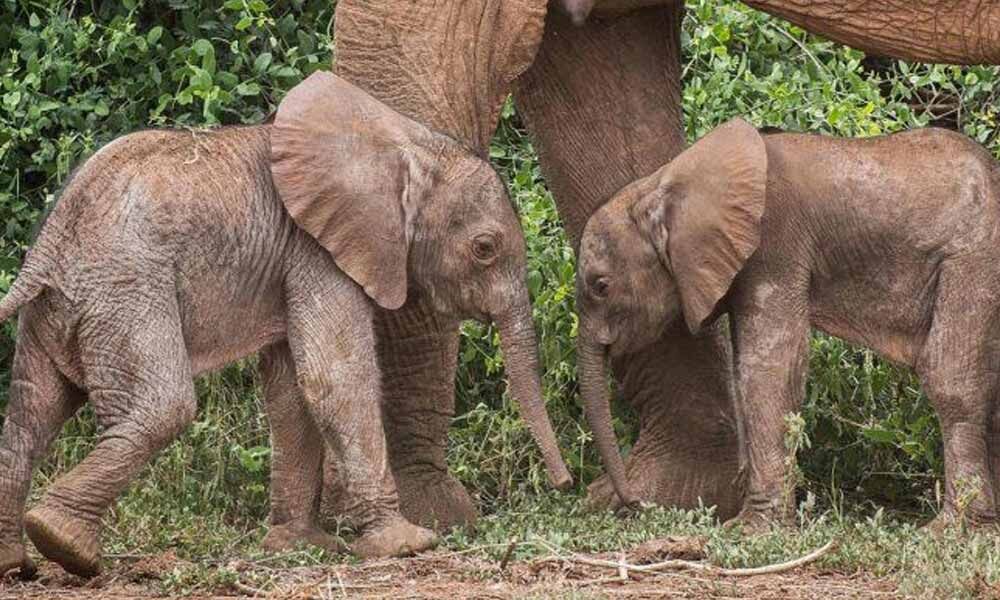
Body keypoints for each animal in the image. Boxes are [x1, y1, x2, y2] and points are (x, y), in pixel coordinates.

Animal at [0, 71, 571, 578]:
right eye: (484, 249)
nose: (564, 486)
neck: (405, 145)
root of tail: (51, 240)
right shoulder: (318, 252)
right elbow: (335, 378)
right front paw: (406, 544)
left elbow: (292, 391)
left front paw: (300, 545)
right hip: (124, 288)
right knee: (162, 407)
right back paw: (64, 544)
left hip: (67, 303)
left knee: (31, 412)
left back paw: (18, 561)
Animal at [576, 117, 1000, 530]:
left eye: (600, 286)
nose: (632, 503)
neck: (662, 184)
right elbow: (743, 371)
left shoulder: (774, 246)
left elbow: (768, 371)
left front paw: (752, 529)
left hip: (973, 257)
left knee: (949, 377)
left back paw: (951, 530)